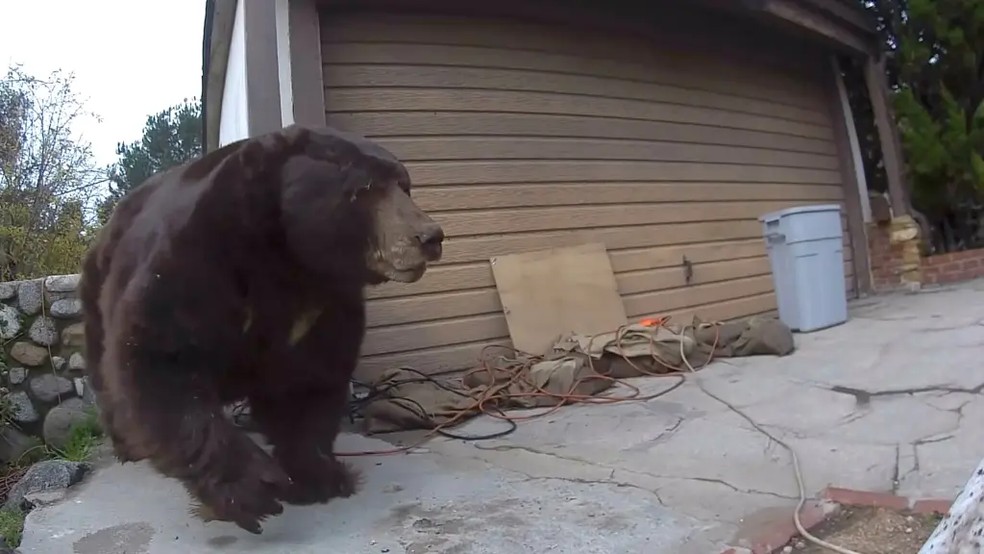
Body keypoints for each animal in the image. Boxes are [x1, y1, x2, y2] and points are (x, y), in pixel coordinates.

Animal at [78, 124, 445, 534]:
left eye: (404, 185)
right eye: (364, 187)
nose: (430, 236)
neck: (286, 260)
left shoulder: (325, 302)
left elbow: (310, 378)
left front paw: (319, 474)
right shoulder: (197, 261)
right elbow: (160, 357)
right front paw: (252, 488)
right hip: (99, 286)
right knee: (104, 366)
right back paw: (127, 445)